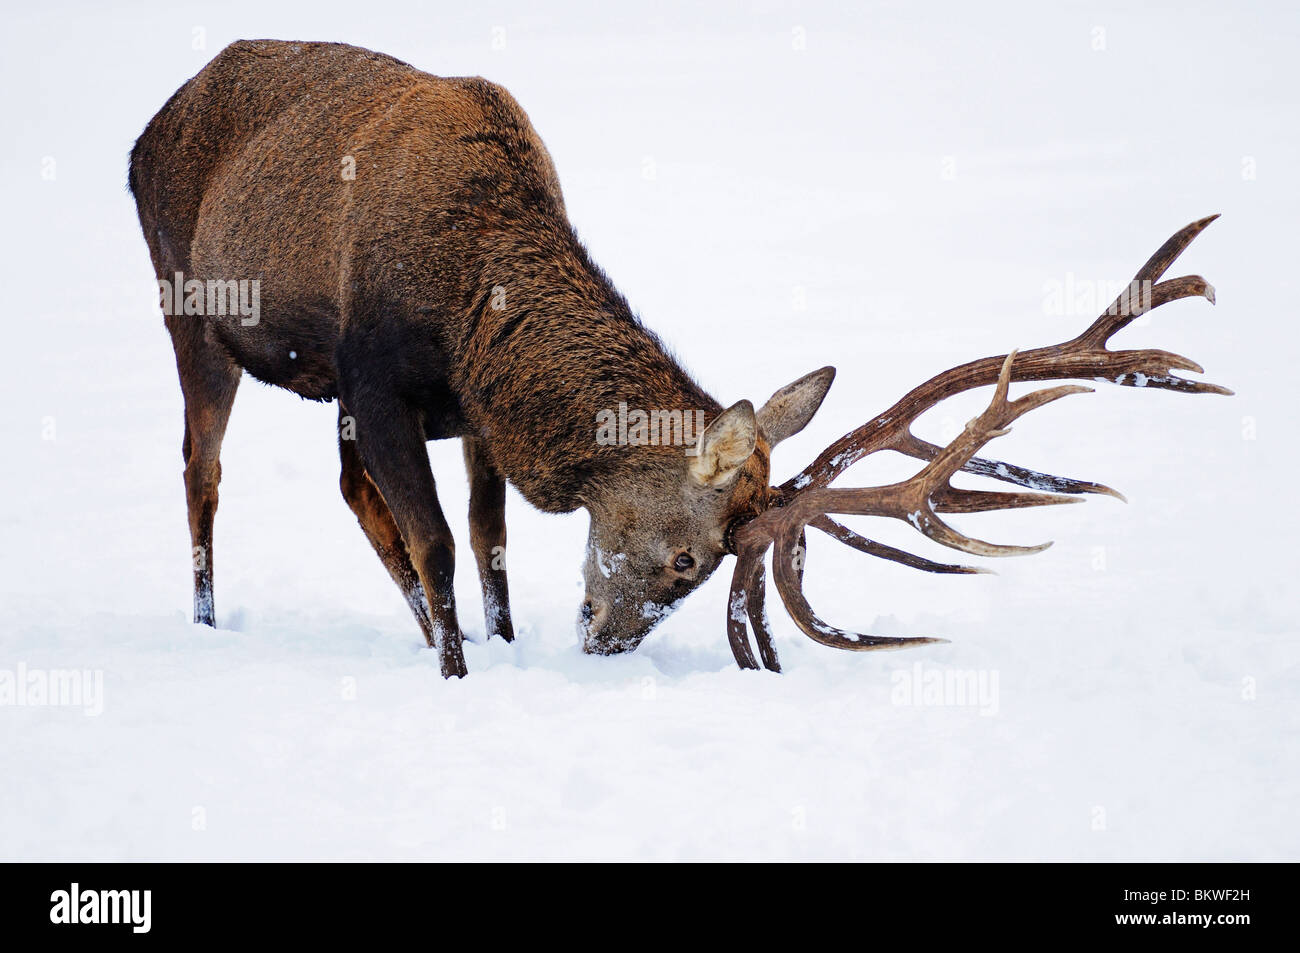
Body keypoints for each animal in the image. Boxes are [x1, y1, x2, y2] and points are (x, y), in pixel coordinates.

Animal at [130, 40, 1229, 679]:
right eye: (692, 557)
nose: (607, 644)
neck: (473, 304)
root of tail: (146, 126)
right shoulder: (374, 378)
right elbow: (439, 540)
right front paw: (459, 675)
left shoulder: (474, 411)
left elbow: (488, 540)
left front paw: (500, 643)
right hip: (188, 307)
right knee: (202, 470)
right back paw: (206, 624)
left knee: (349, 492)